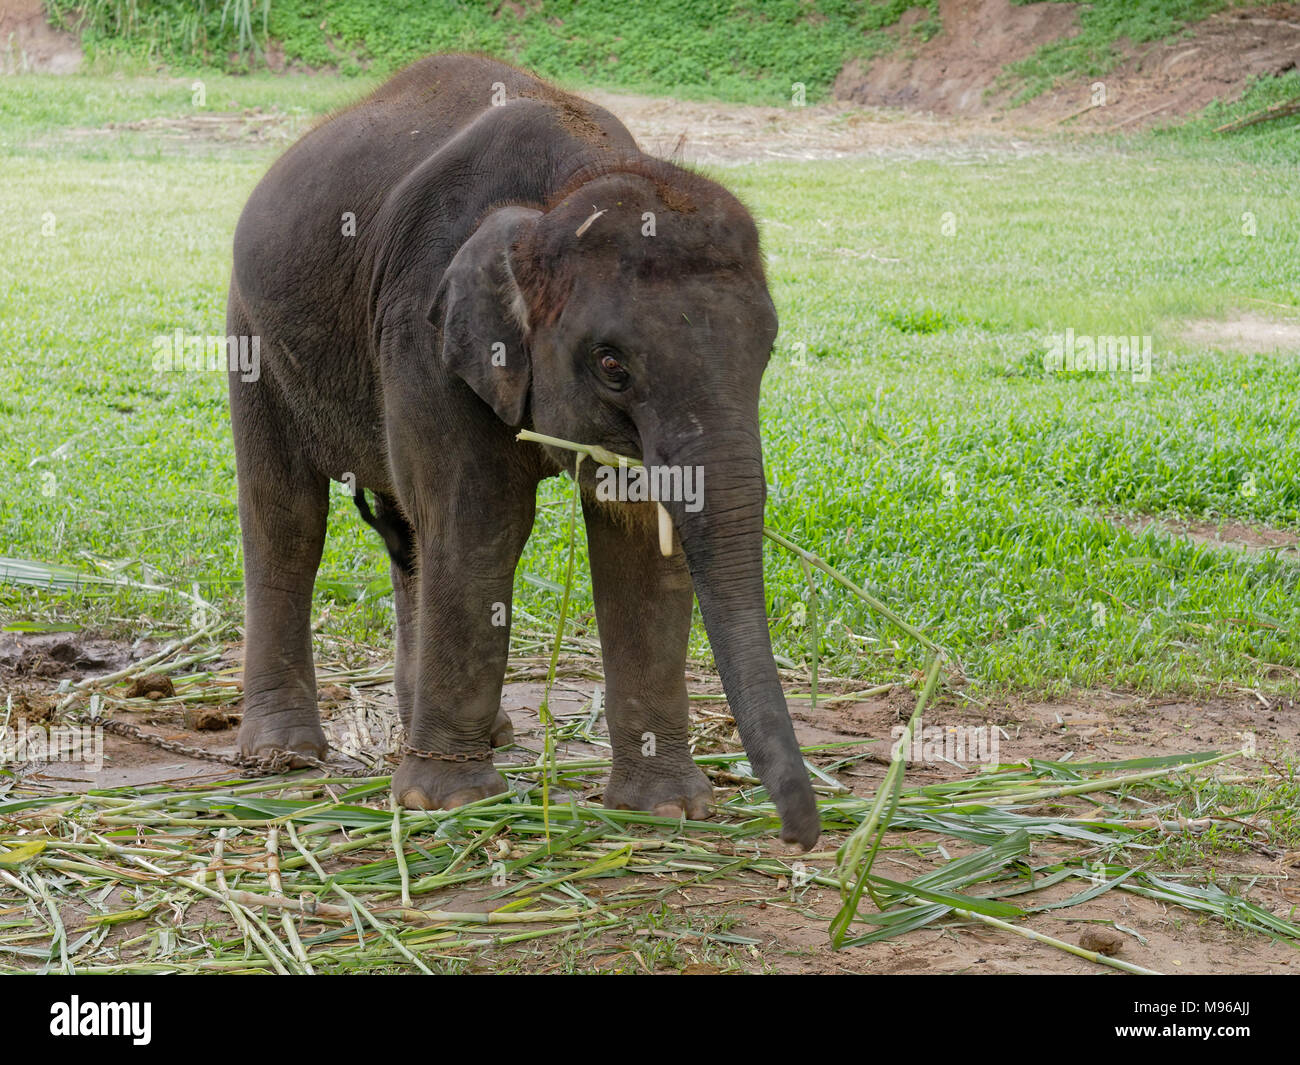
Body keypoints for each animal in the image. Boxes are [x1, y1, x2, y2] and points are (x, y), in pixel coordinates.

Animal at [226, 54, 819, 849]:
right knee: (287, 521)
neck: (566, 187)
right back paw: (283, 755)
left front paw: (665, 811)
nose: (801, 837)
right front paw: (447, 802)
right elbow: (480, 522)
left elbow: (636, 543)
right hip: (251, 333)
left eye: (766, 352)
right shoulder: (425, 330)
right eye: (611, 365)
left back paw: (481, 732)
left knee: (408, 537)